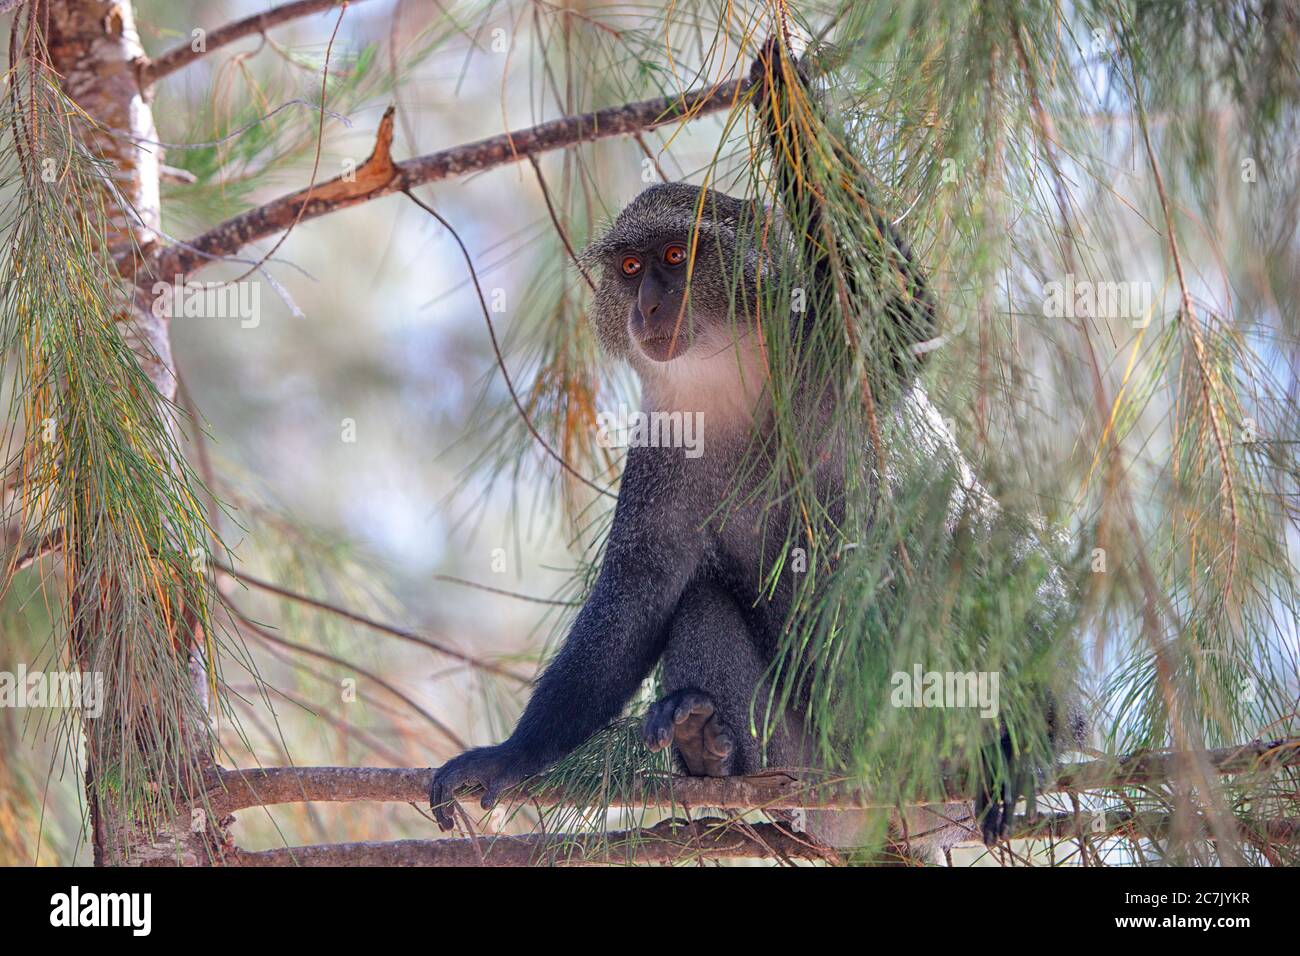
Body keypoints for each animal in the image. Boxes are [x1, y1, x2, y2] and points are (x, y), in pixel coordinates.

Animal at [430, 39, 1080, 851]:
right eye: (631, 267)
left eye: (676, 257)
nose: (648, 308)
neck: (732, 383)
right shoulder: (659, 457)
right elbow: (638, 598)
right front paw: (508, 756)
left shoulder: (845, 353)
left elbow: (906, 306)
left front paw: (779, 87)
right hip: (801, 752)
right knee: (703, 599)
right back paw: (710, 749)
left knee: (990, 548)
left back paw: (1025, 745)